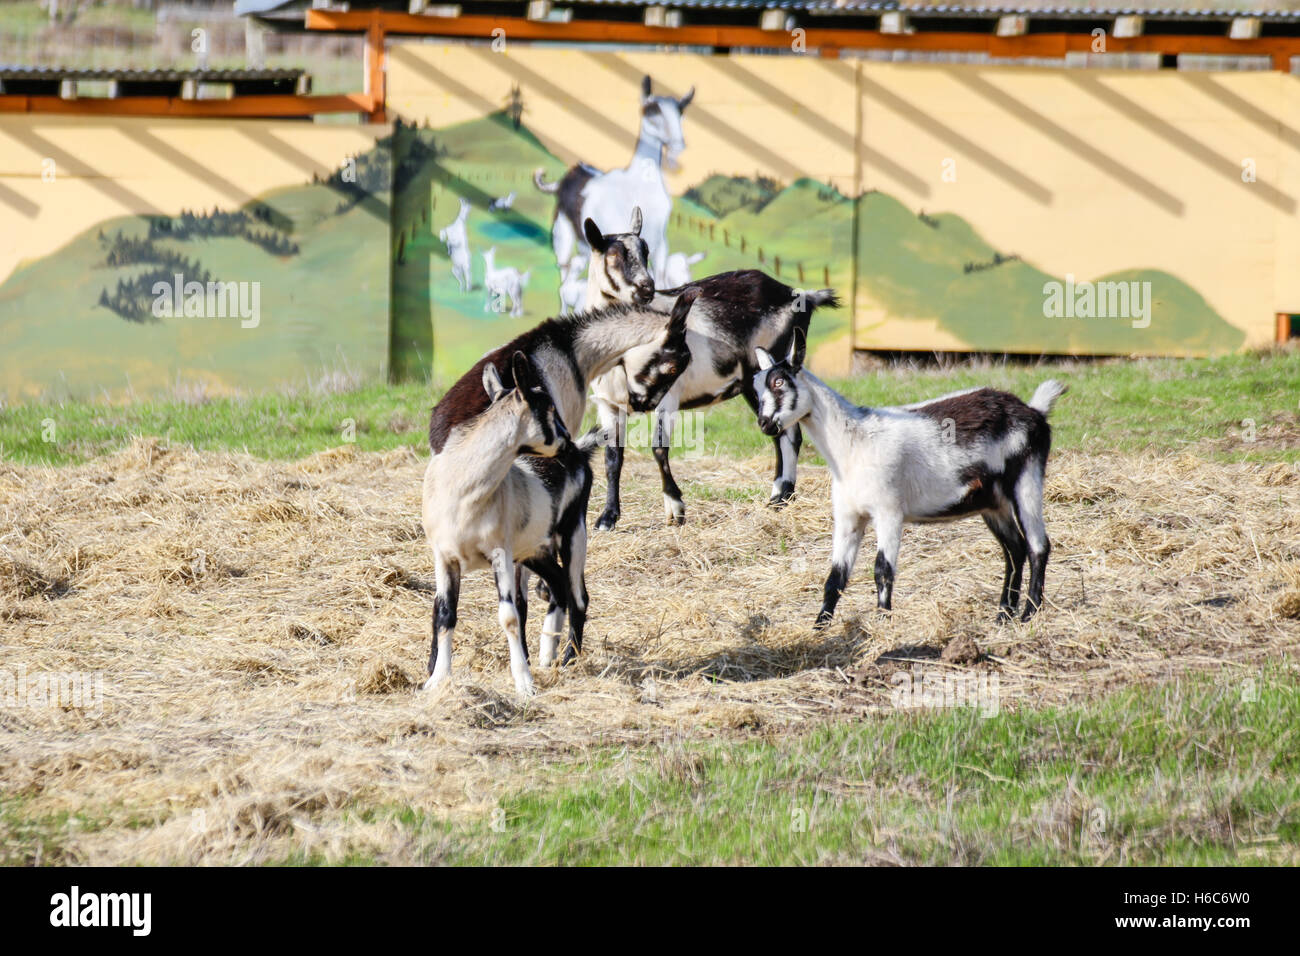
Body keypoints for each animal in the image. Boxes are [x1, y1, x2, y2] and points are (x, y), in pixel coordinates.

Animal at [423, 351, 586, 695]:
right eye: (550, 410)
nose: (566, 442)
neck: (462, 490)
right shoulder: (444, 556)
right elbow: (444, 614)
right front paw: (437, 679)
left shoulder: (499, 553)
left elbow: (510, 616)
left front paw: (524, 683)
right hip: (534, 549)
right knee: (559, 585)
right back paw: (547, 654)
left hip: (574, 531)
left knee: (578, 595)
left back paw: (569, 659)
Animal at [580, 216, 838, 529]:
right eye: (614, 256)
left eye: (646, 251)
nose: (646, 288)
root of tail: (803, 296)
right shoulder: (608, 404)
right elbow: (612, 457)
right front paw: (607, 518)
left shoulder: (667, 394)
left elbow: (659, 448)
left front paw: (675, 509)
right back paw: (781, 496)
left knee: (788, 433)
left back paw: (779, 497)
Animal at [753, 329, 1067, 628]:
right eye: (756, 386)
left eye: (779, 383)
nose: (765, 423)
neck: (853, 443)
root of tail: (1034, 411)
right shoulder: (849, 516)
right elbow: (836, 577)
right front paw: (820, 627)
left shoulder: (889, 511)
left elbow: (882, 570)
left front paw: (883, 624)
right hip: (993, 503)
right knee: (1014, 550)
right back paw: (1004, 614)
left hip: (1027, 478)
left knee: (1038, 545)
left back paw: (1029, 613)